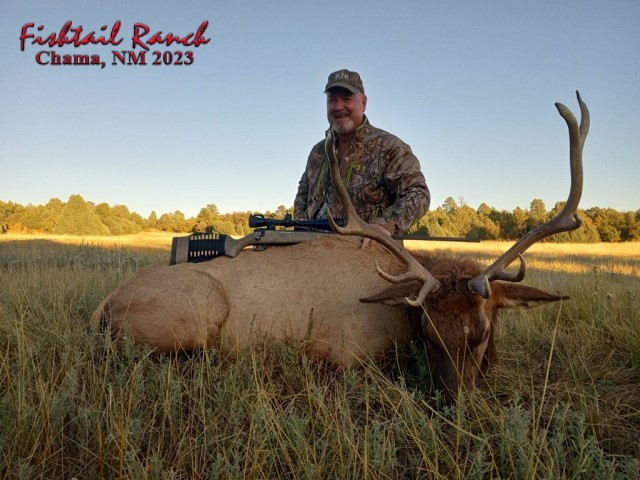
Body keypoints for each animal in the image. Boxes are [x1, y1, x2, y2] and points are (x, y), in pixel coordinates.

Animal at [92, 92, 589, 402]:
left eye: (482, 333)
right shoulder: (344, 352)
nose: (452, 403)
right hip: (197, 312)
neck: (396, 314)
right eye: (428, 333)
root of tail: (103, 307)